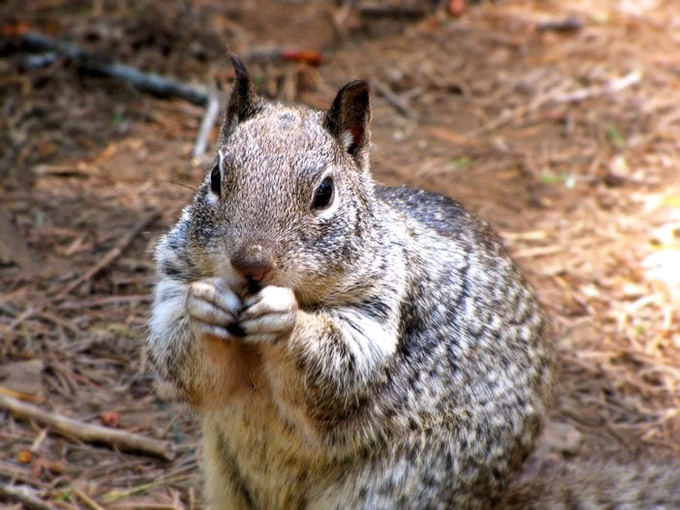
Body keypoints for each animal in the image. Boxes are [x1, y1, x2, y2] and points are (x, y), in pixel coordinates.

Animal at [147, 54, 553, 509]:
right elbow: (187, 360)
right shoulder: (174, 278)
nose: (251, 264)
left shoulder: (379, 311)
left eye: (325, 192)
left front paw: (284, 318)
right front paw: (206, 305)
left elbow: (340, 363)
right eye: (216, 176)